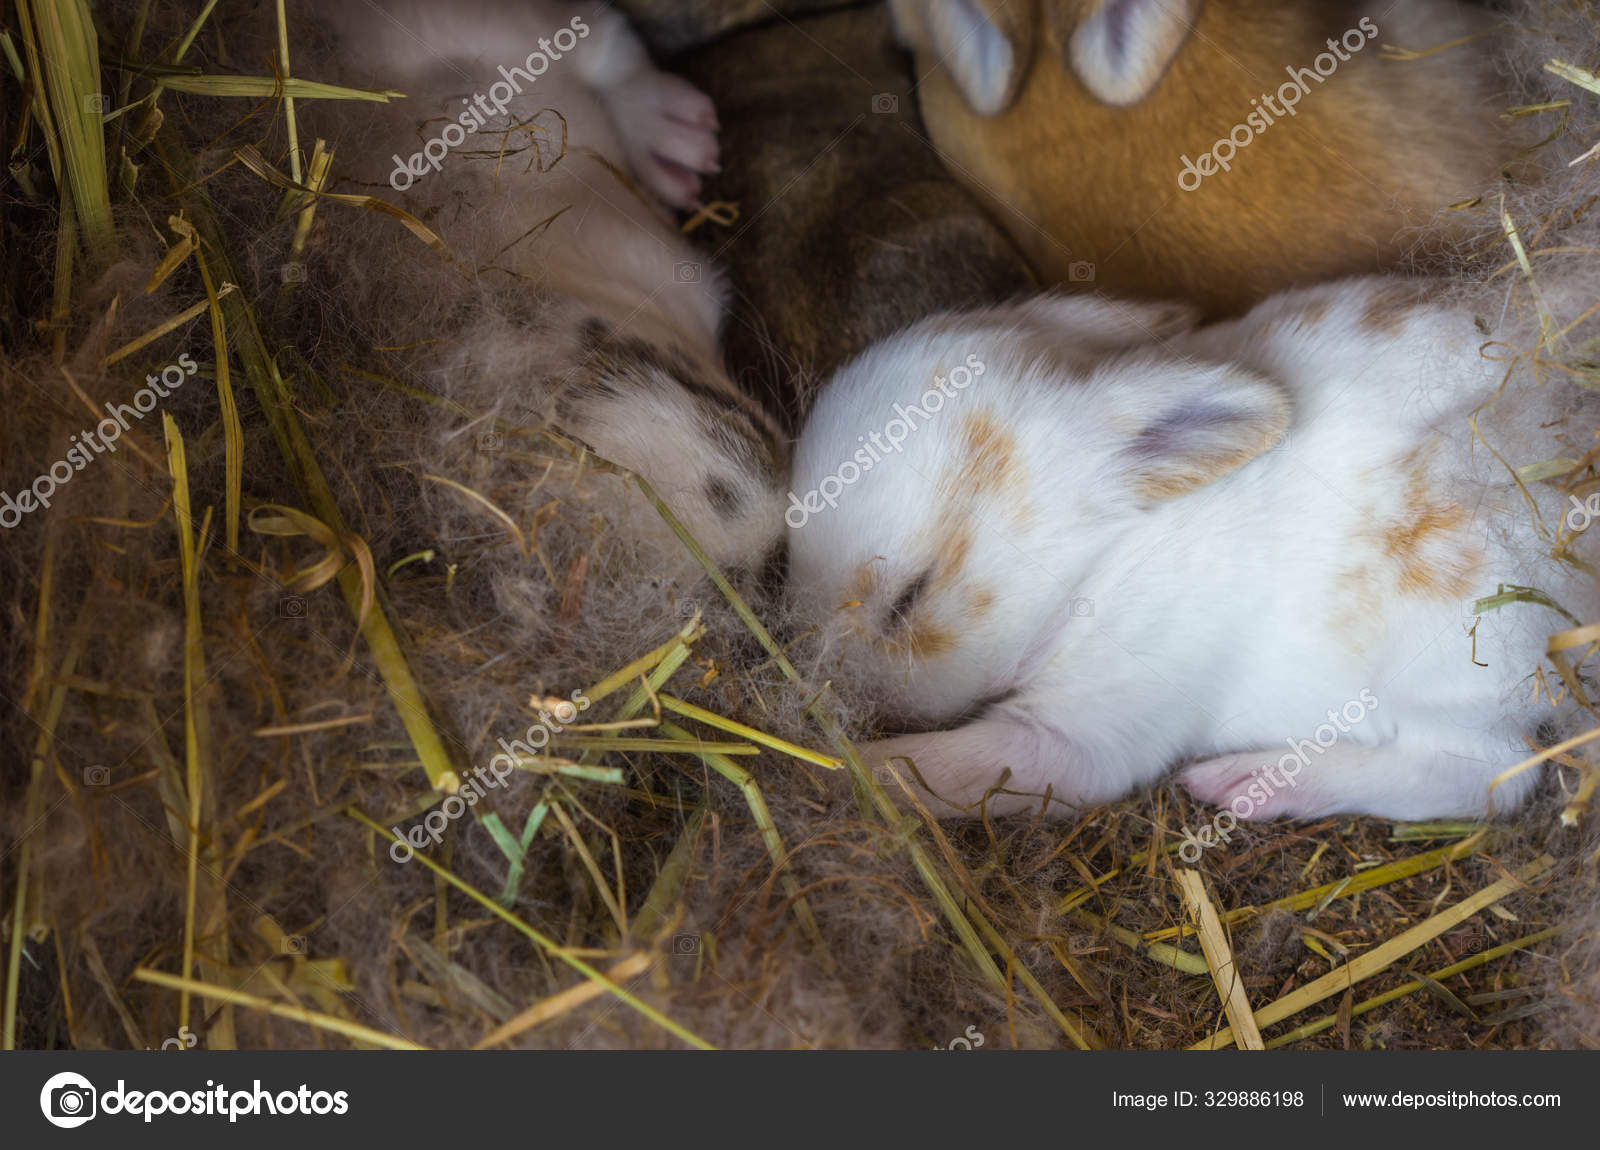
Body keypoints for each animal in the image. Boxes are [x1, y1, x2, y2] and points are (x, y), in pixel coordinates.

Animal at [785, 278, 1598, 822]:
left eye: (909, 598)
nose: (829, 685)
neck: (1090, 570)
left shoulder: (1088, 729)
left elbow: (951, 766)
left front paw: (841, 768)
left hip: (1449, 665)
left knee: (1485, 778)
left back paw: (1244, 784)